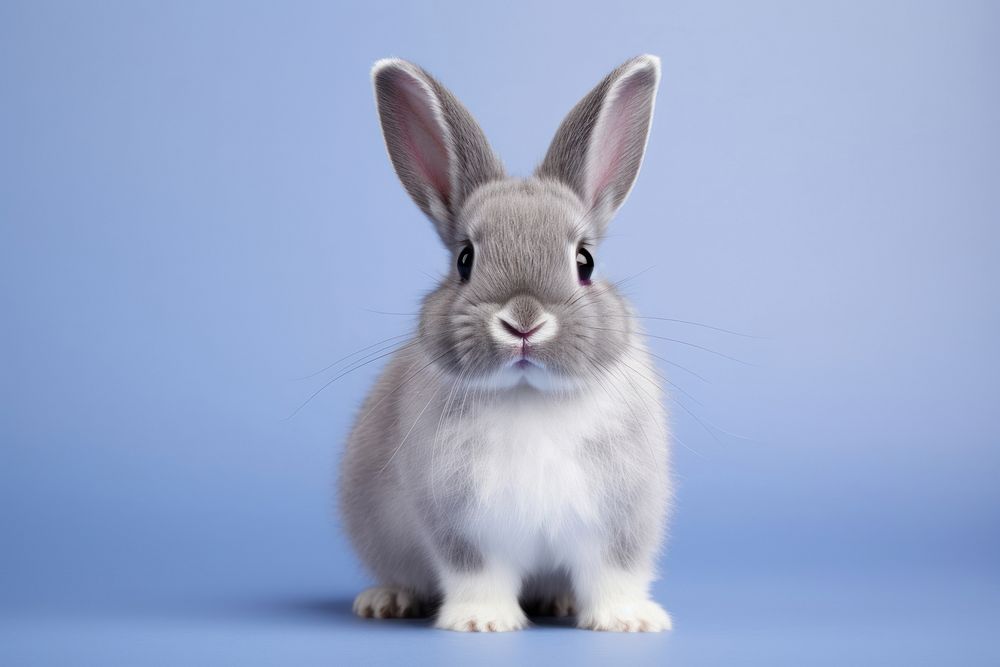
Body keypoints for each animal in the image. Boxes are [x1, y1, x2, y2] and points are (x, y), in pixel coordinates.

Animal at [339, 55, 671, 632]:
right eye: (464, 259)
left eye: (585, 261)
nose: (523, 322)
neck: (528, 396)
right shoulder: (461, 526)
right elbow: (477, 574)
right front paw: (482, 622)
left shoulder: (620, 519)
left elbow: (615, 574)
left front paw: (628, 620)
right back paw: (386, 600)